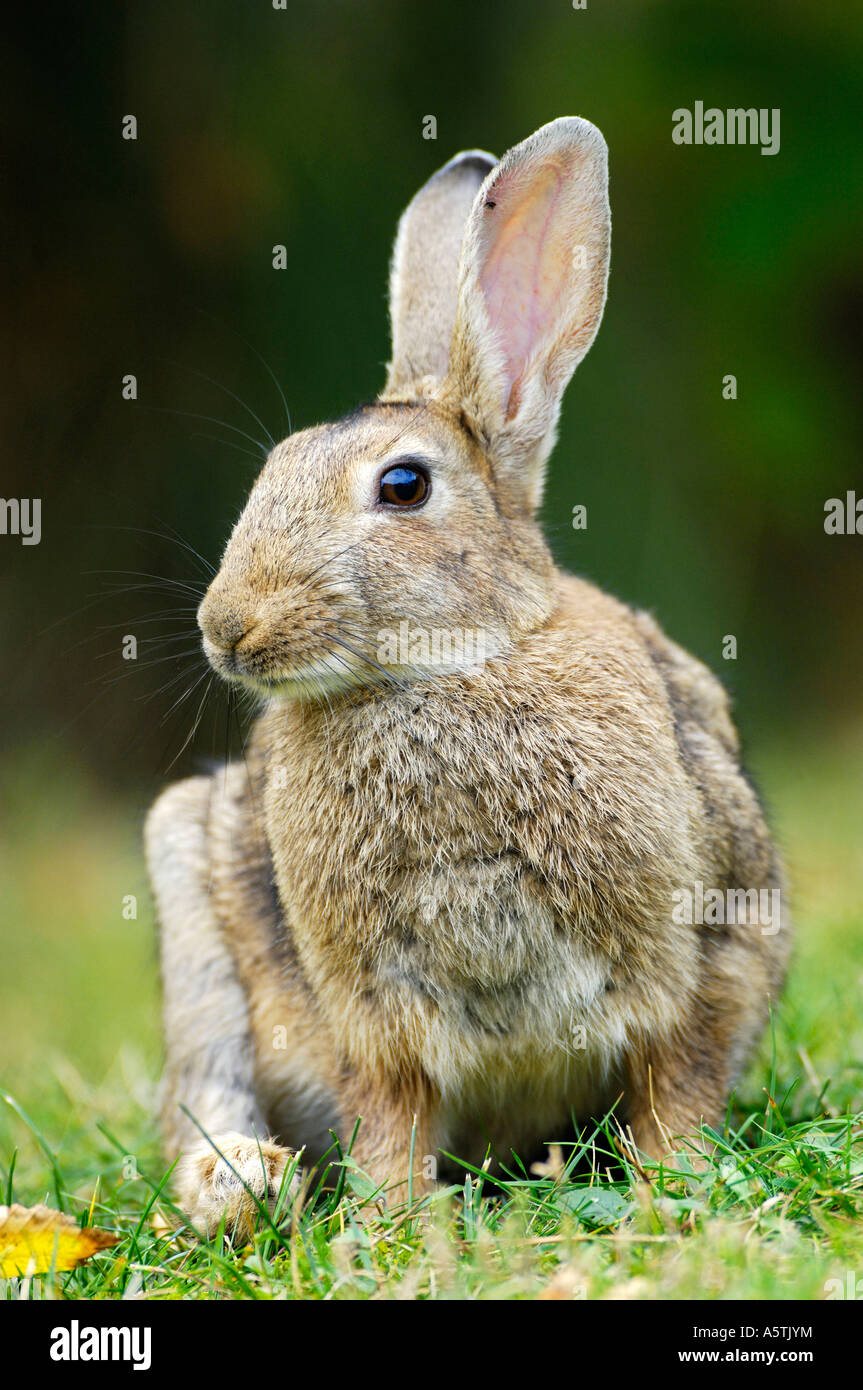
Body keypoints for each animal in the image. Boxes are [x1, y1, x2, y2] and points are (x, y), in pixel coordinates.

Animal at [146, 117, 790, 1237]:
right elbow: (389, 1115)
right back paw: (237, 1182)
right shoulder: (365, 1009)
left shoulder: (708, 952)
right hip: (184, 886)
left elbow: (679, 1087)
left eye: (403, 485)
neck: (445, 673)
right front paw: (392, 1231)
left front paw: (674, 1198)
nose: (227, 629)